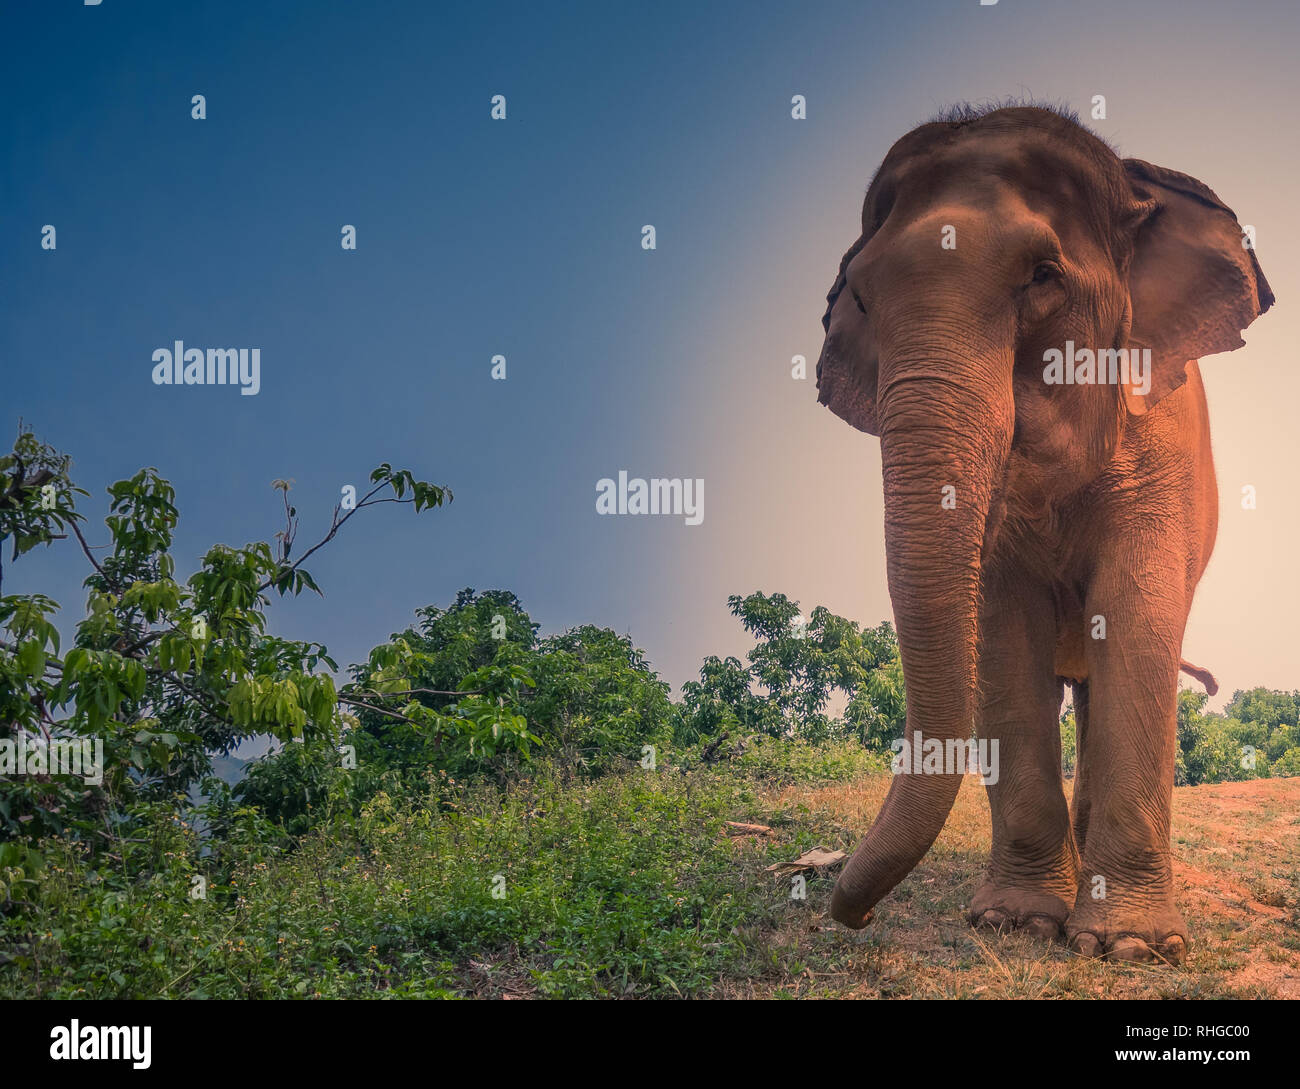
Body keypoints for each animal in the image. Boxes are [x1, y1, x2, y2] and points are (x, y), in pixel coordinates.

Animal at [815, 104, 1272, 963]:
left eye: (1043, 276)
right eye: (859, 296)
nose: (848, 912)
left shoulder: (1158, 442)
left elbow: (1135, 617)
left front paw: (1133, 949)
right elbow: (1002, 632)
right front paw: (1016, 922)